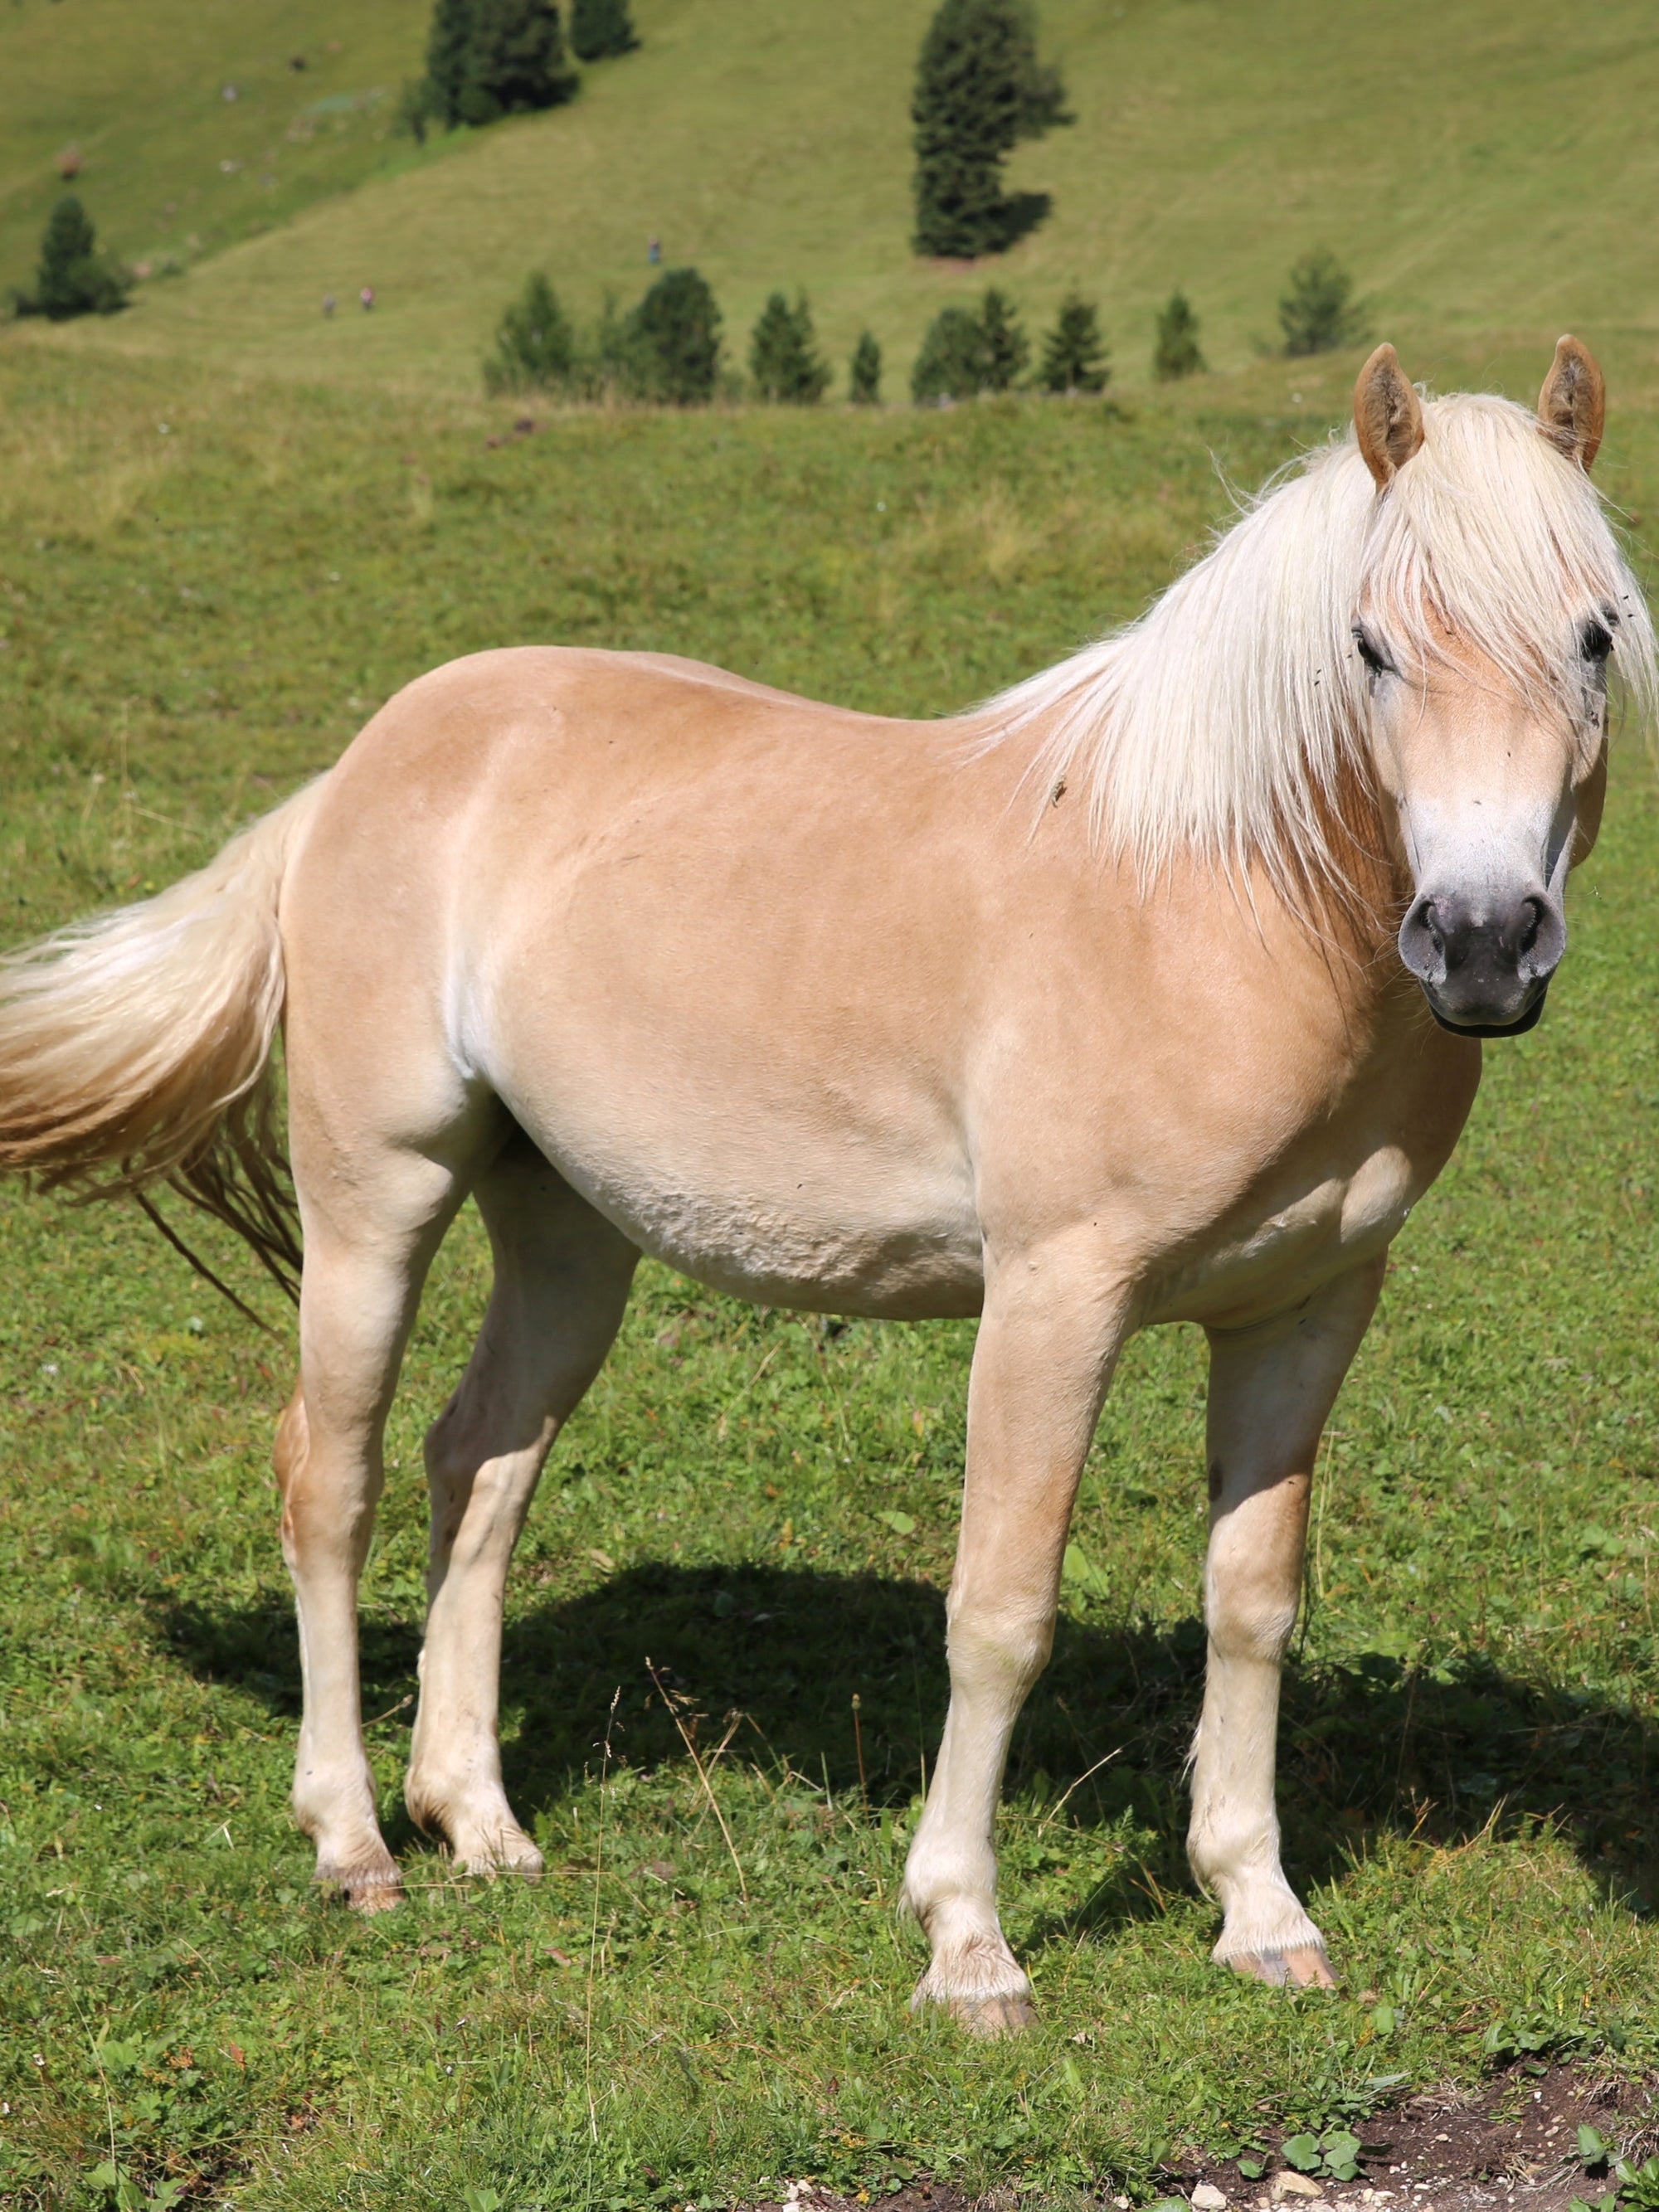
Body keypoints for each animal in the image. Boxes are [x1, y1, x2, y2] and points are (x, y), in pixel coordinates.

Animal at [1, 341, 1650, 2030]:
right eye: (1373, 647)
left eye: (1595, 633)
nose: (1481, 943)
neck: (1210, 903)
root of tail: (356, 766)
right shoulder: (1056, 1298)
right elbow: (999, 1613)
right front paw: (967, 1940)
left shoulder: (1306, 1307)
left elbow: (1252, 1599)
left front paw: (1259, 1910)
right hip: (375, 1197)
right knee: (332, 1479)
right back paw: (350, 1840)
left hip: (568, 1230)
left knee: (482, 1466)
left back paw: (479, 1820)